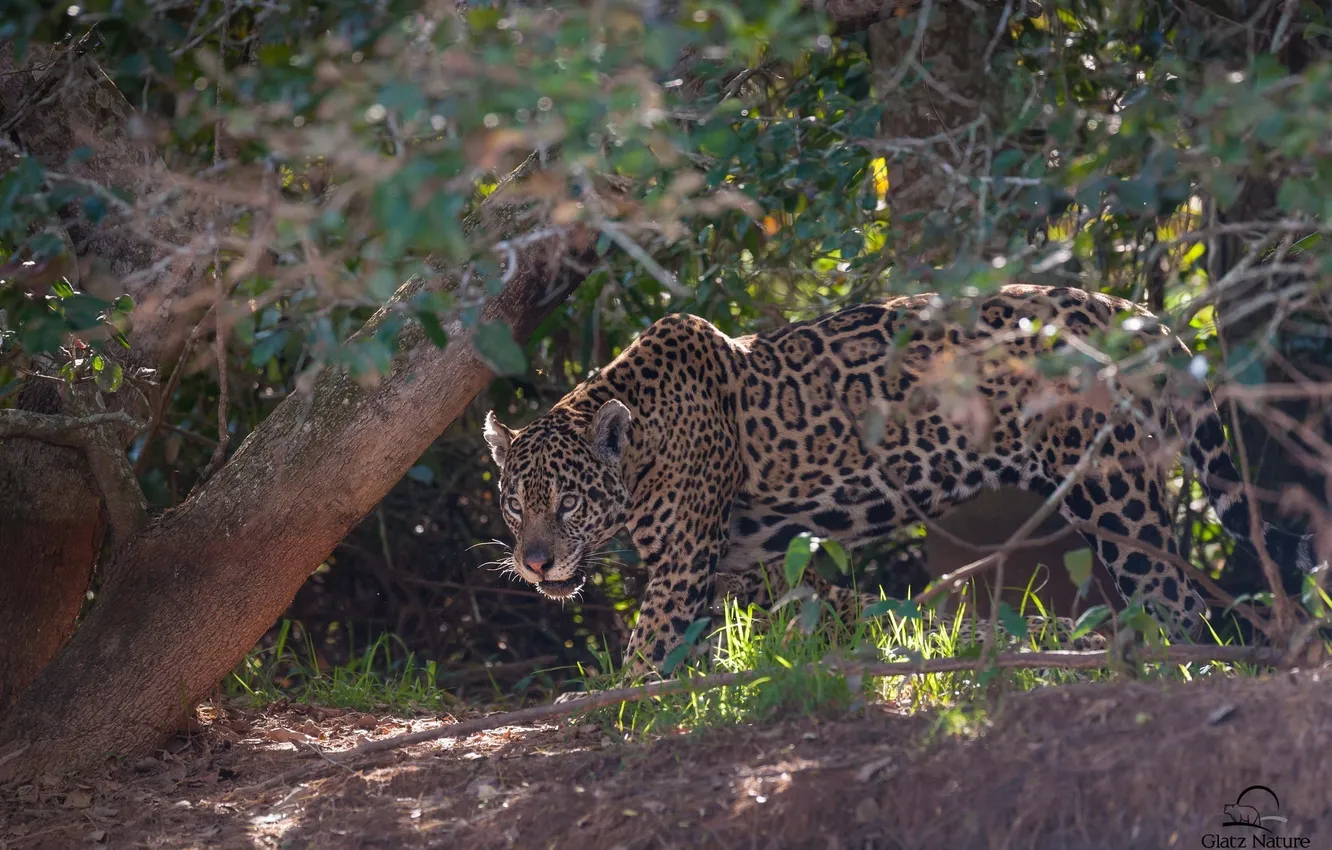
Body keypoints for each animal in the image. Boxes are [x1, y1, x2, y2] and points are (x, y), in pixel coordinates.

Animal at [482, 284, 1325, 679]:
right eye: (515, 505)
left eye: (568, 502)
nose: (534, 561)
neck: (642, 439)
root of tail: (1126, 309)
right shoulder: (748, 560)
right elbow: (816, 611)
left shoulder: (684, 563)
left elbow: (648, 650)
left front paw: (612, 710)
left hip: (1111, 487)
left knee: (1176, 594)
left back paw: (1181, 671)